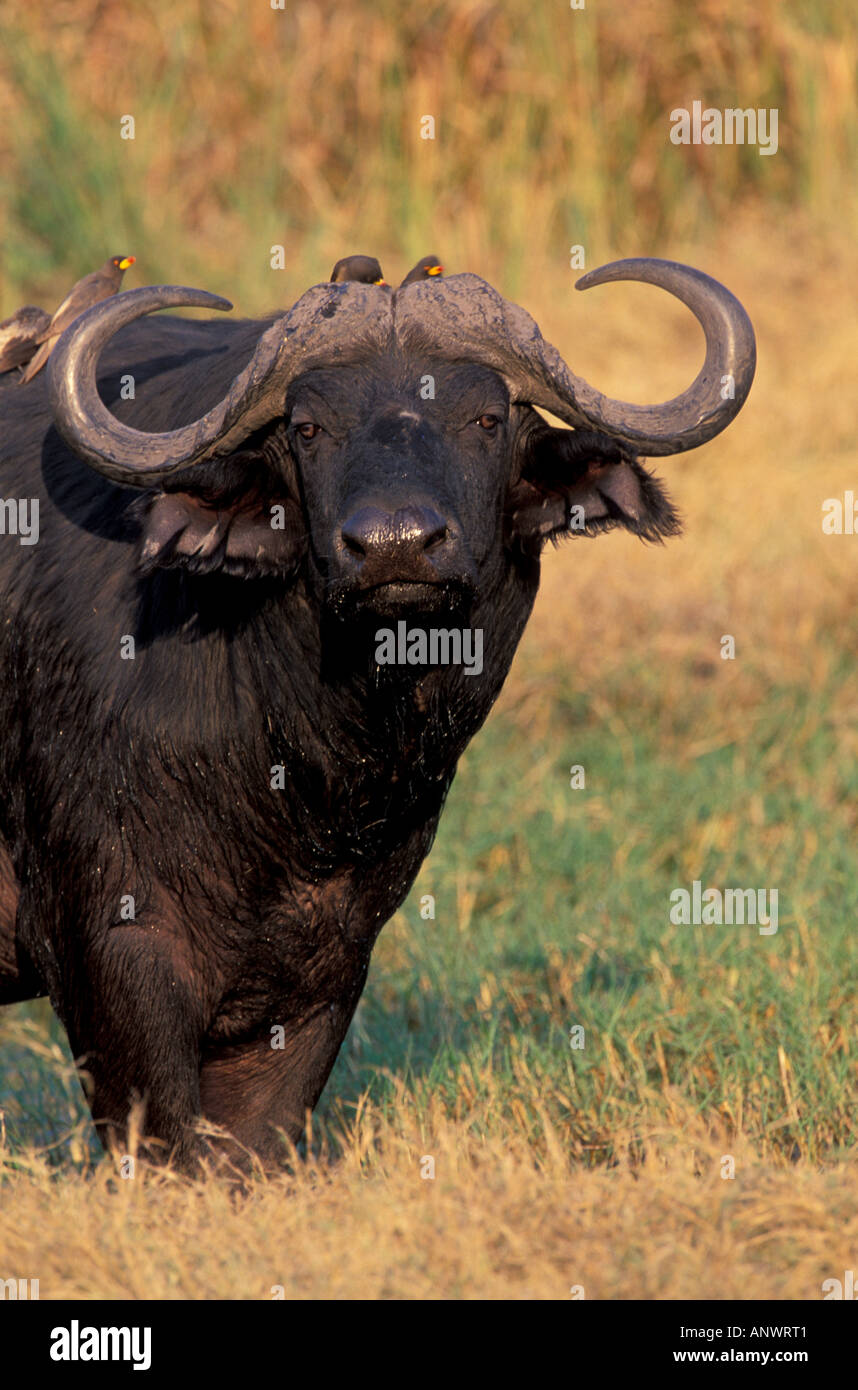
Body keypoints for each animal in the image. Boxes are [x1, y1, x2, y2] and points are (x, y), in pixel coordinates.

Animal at [0, 258, 755, 1170]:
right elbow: (169, 1146)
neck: (296, 764)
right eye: (309, 428)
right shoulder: (107, 951)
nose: (395, 545)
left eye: (486, 419)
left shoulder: (325, 969)